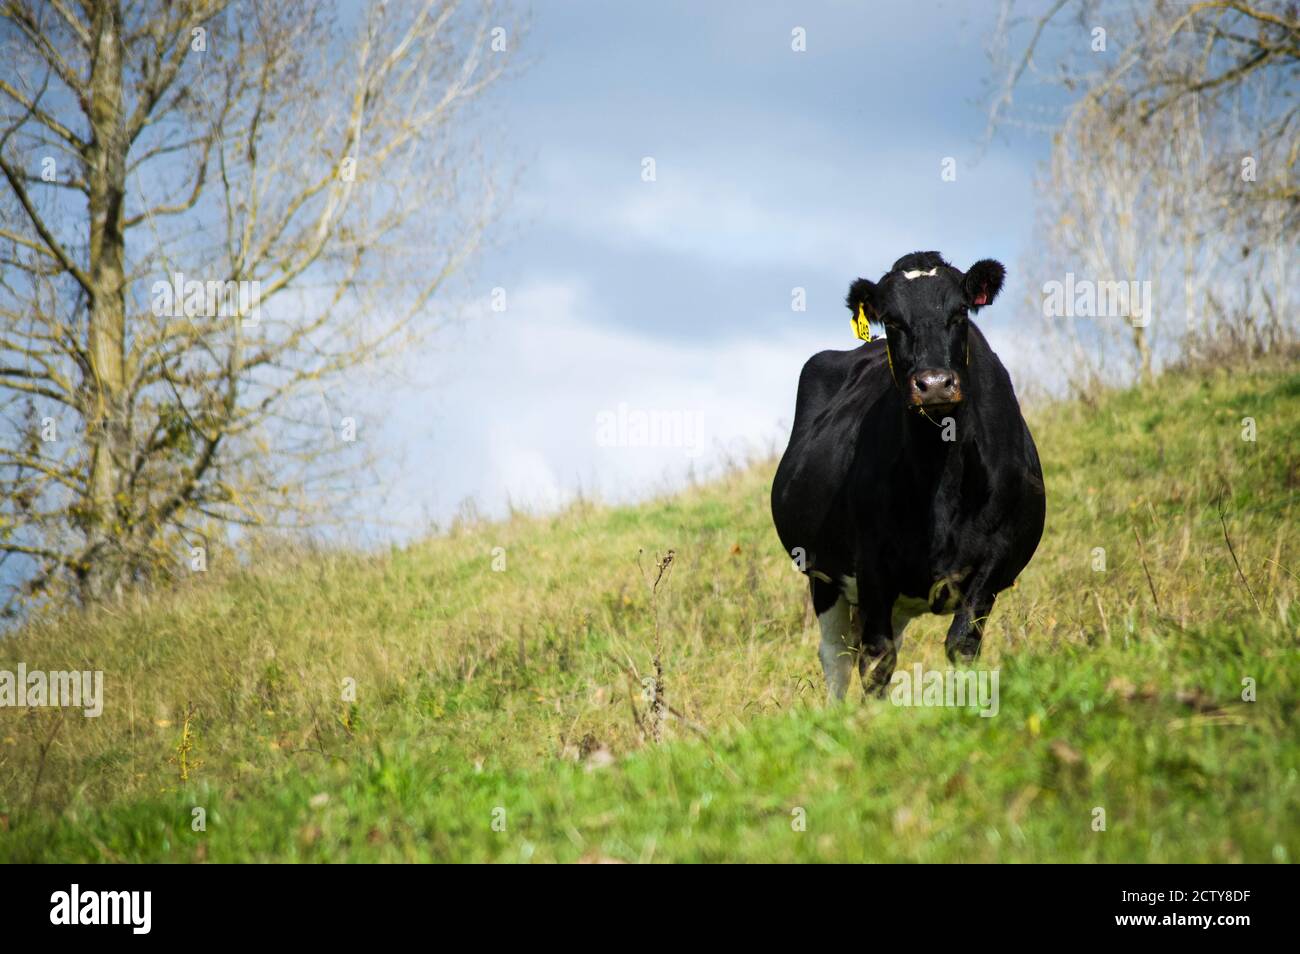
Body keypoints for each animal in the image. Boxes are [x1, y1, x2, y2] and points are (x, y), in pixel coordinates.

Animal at [771, 251, 1045, 700]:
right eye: (893, 321)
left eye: (959, 312)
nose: (933, 384)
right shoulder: (871, 564)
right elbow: (876, 660)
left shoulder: (997, 554)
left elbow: (961, 643)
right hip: (824, 575)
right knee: (837, 656)